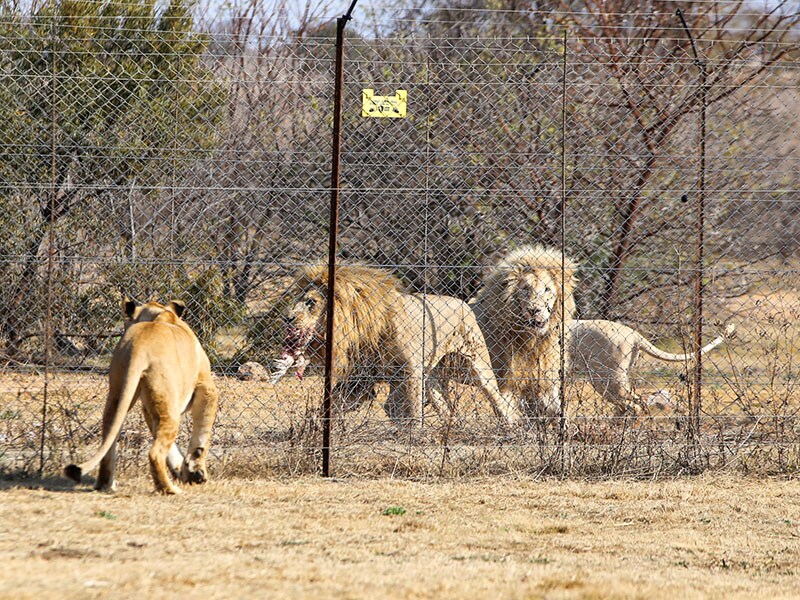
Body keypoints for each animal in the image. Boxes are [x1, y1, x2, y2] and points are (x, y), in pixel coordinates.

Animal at [64, 299, 219, 495]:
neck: (159, 313)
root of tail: (139, 344)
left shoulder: (148, 407)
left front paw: (182, 470)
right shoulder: (207, 388)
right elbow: (202, 433)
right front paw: (195, 471)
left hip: (119, 394)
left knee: (109, 438)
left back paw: (106, 485)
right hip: (170, 404)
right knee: (155, 453)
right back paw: (170, 489)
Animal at [271, 264, 517, 425]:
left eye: (310, 302)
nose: (286, 318)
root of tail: (464, 302)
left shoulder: (411, 372)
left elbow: (413, 411)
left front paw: (414, 440)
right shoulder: (360, 377)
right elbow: (335, 404)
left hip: (473, 366)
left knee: (498, 398)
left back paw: (511, 426)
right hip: (434, 377)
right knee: (446, 408)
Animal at [470, 245, 578, 419]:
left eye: (547, 289)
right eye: (526, 289)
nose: (534, 310)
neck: (531, 341)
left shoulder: (543, 378)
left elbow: (555, 411)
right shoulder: (505, 383)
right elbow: (510, 415)